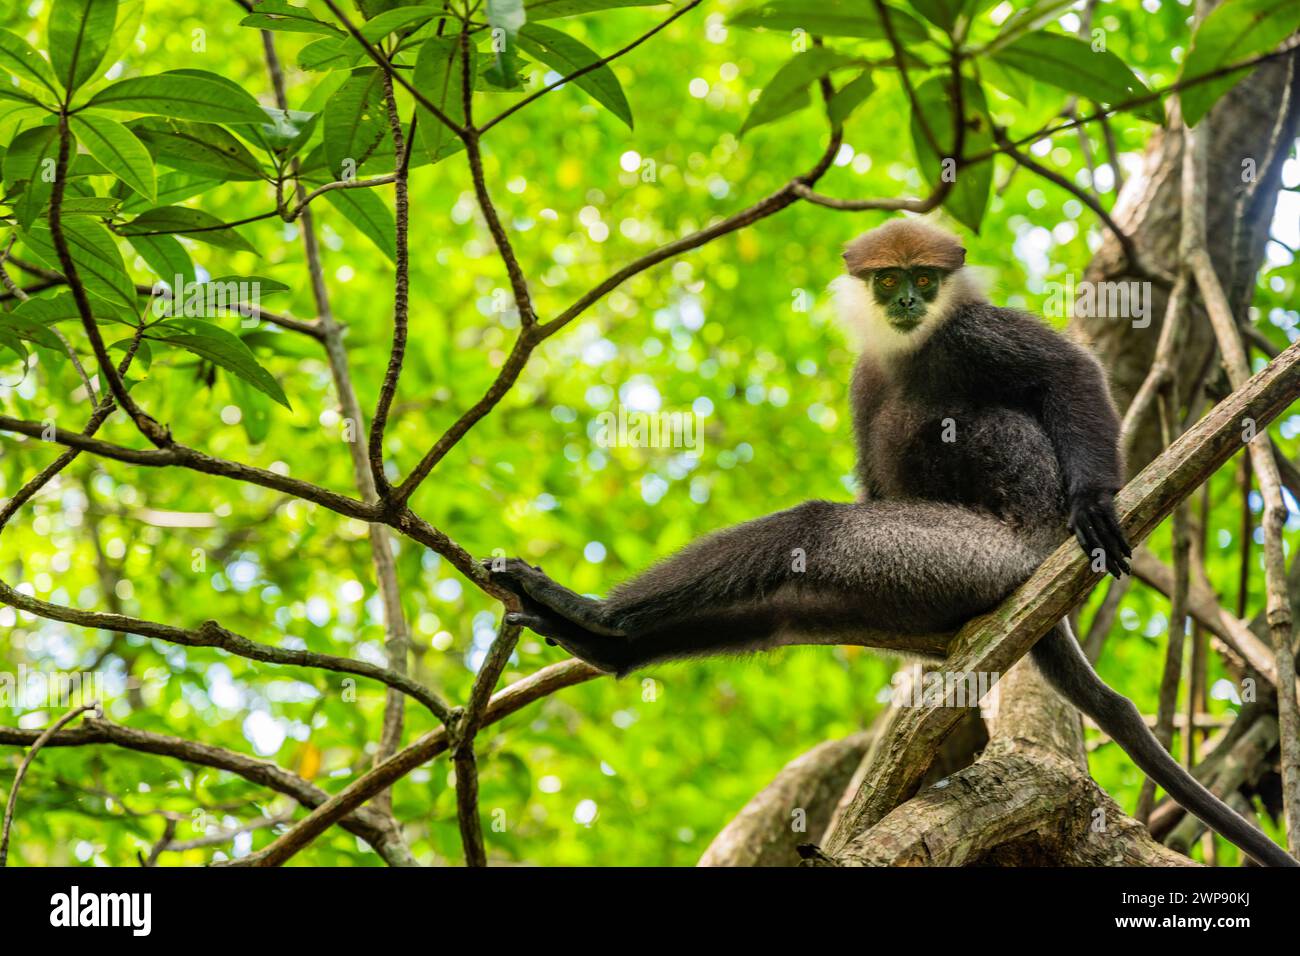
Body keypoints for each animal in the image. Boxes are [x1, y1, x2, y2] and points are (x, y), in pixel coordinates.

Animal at [485, 219, 1298, 868]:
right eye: (887, 282)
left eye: (923, 279)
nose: (907, 304)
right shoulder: (863, 378)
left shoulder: (974, 330)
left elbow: (1069, 370)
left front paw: (1095, 504)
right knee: (792, 605)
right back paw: (607, 643)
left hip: (979, 556)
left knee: (813, 529)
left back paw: (598, 617)